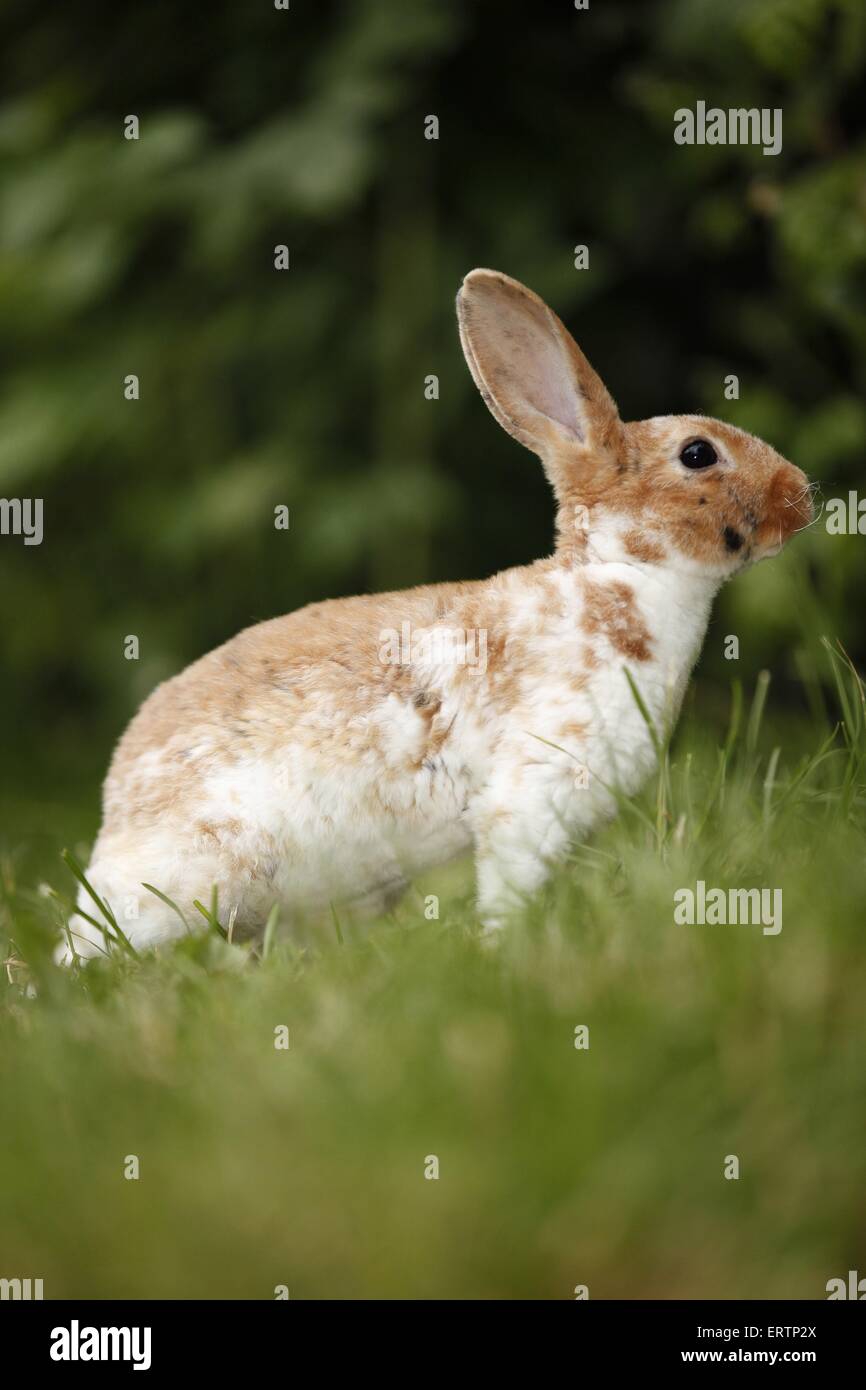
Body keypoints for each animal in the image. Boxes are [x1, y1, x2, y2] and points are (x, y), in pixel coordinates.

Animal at [60, 269, 812, 961]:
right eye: (697, 454)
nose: (803, 496)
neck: (621, 573)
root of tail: (114, 814)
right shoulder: (532, 788)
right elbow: (511, 870)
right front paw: (507, 944)